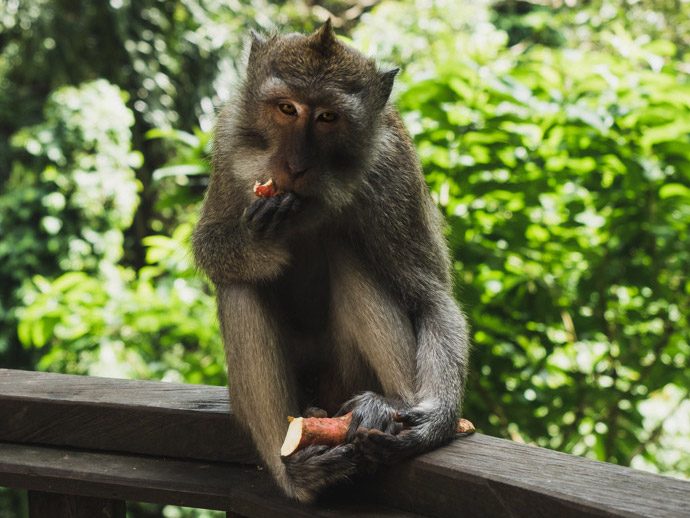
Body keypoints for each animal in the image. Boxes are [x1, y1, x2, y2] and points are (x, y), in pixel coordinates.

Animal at [192, 21, 470, 503]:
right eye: (287, 108)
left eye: (327, 118)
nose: (295, 166)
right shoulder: (229, 141)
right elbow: (210, 244)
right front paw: (260, 238)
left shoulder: (393, 167)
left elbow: (430, 297)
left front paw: (433, 421)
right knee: (238, 285)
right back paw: (296, 473)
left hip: (343, 380)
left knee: (350, 256)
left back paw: (389, 410)